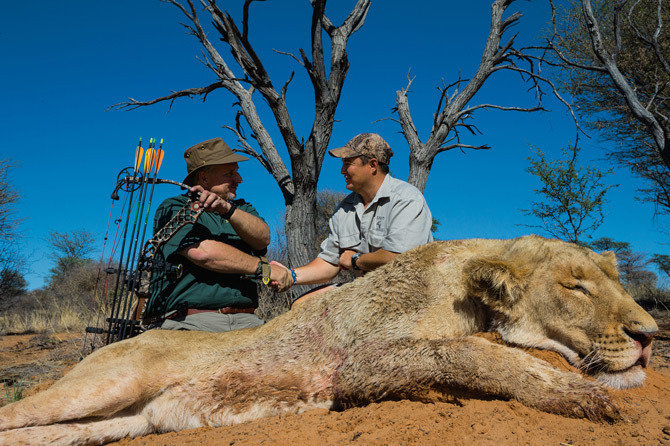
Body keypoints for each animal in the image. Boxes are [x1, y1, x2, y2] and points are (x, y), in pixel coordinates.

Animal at [0, 236, 659, 445]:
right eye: (575, 286)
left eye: (614, 279)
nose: (651, 334)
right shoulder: (359, 368)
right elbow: (467, 352)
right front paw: (578, 395)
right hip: (108, 383)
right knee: (15, 413)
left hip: (117, 422)